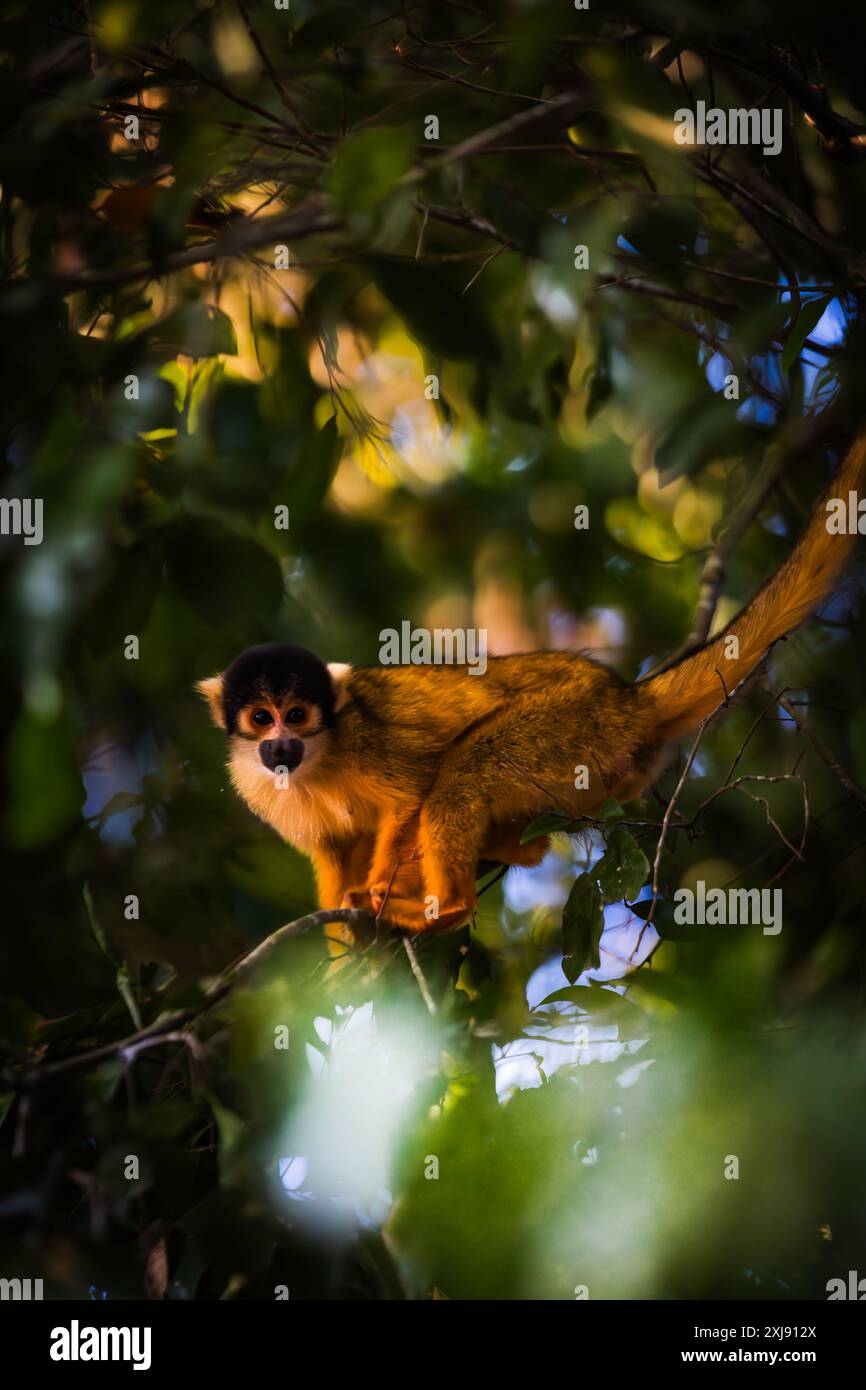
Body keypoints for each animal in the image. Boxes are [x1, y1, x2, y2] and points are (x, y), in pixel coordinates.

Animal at [197, 435, 865, 941]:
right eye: (260, 718)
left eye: (297, 714)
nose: (279, 746)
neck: (320, 759)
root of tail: (628, 699)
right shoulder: (262, 790)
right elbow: (335, 853)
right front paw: (343, 954)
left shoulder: (365, 739)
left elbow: (412, 796)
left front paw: (381, 891)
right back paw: (510, 854)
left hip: (571, 727)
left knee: (464, 770)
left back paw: (448, 905)